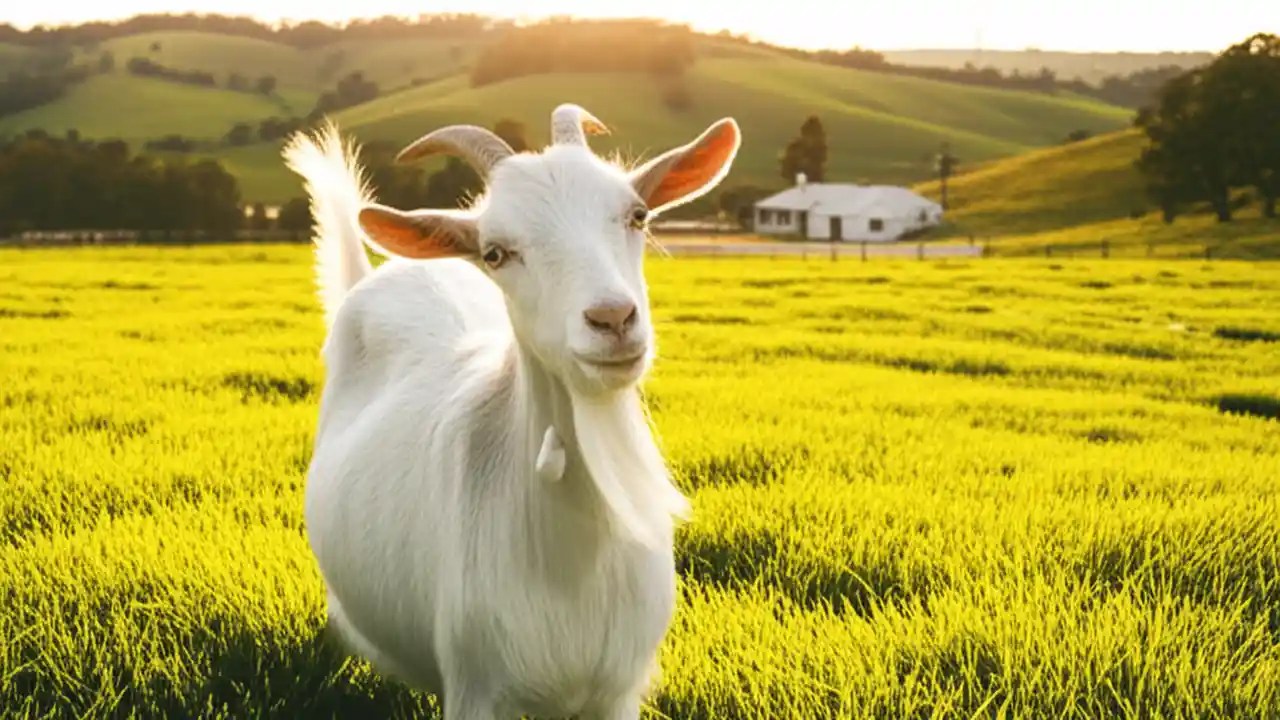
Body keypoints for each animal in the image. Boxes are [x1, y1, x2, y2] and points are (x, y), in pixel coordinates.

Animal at [282, 104, 740, 719]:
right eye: (496, 252)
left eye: (638, 215)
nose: (613, 319)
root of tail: (381, 273)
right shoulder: (475, 686)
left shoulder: (617, 690)